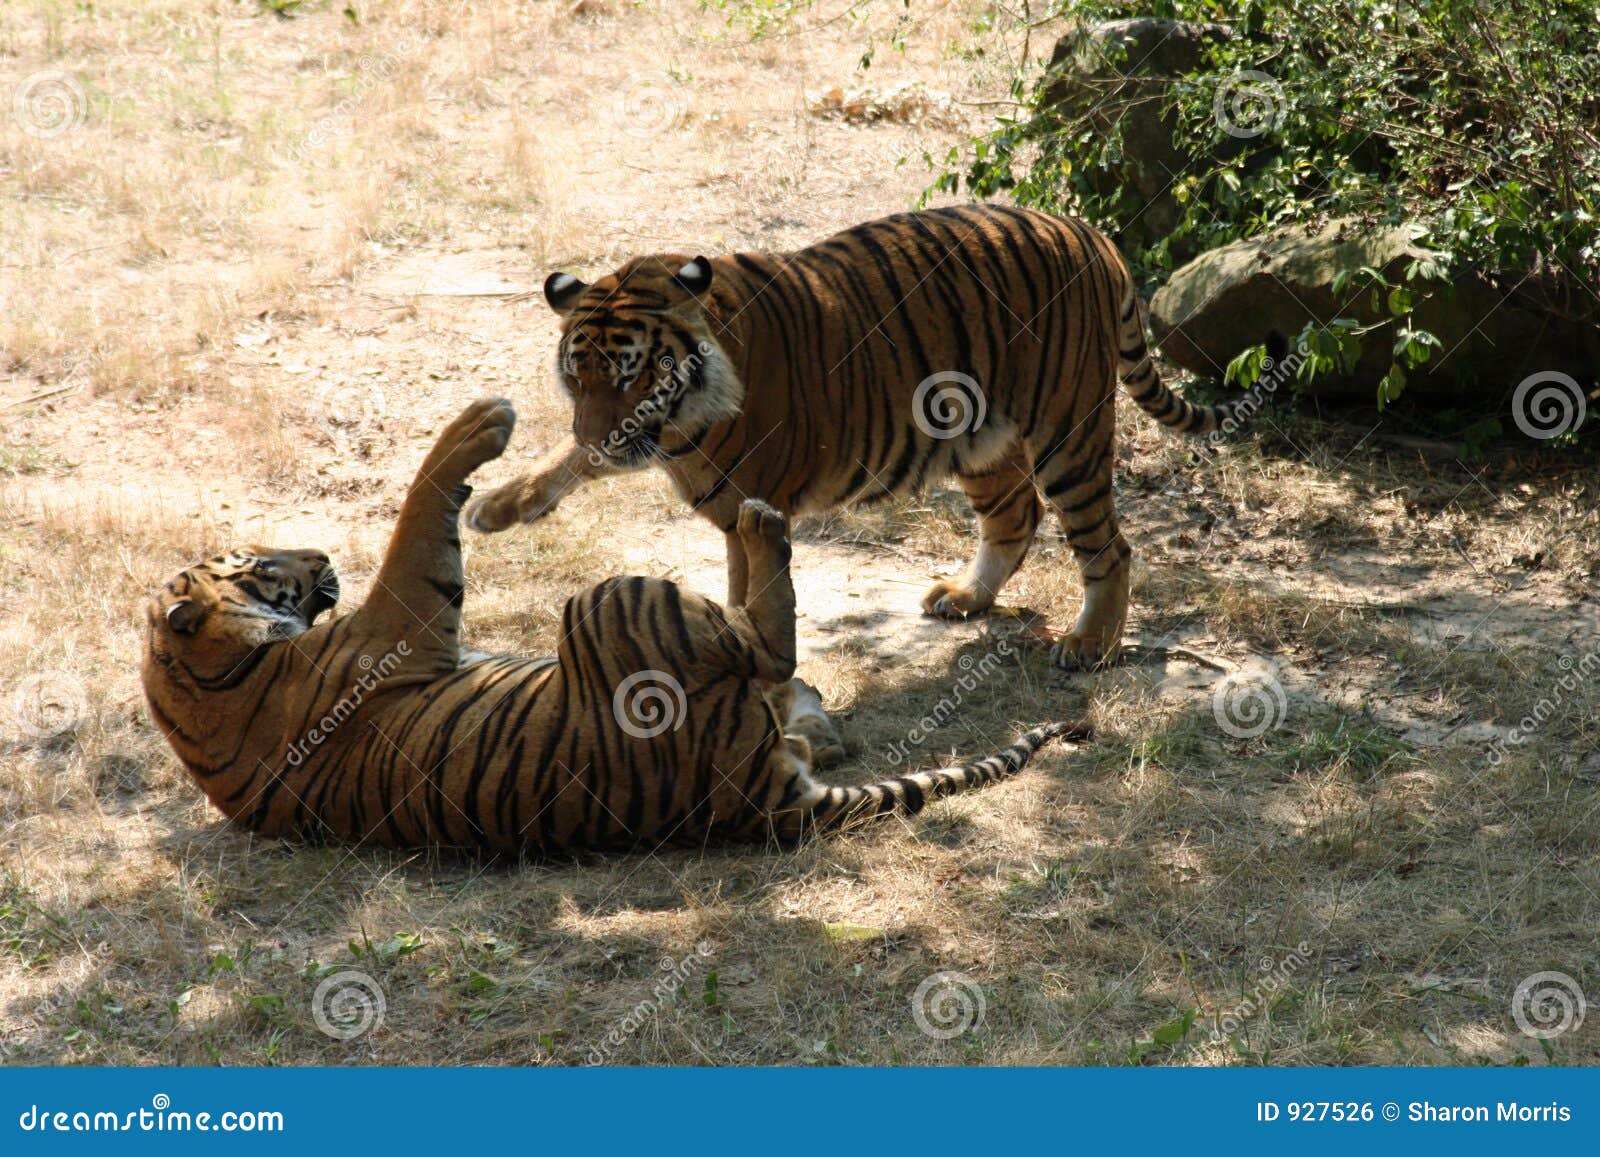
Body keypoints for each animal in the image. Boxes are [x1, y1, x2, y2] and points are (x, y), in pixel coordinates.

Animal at [141, 398, 1088, 856]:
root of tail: (748, 802)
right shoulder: (405, 612)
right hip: (607, 600)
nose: (319, 553)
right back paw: (764, 529)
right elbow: (421, 507)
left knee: (793, 699)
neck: (202, 697)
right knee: (769, 641)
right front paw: (482, 421)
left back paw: (813, 709)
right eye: (264, 562)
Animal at [464, 203, 1255, 668]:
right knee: (1015, 516)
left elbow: (750, 589)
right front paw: (496, 507)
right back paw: (966, 596)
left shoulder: (747, 501)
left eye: (633, 374)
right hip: (979, 433)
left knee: (1107, 546)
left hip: (1069, 433)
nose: (602, 430)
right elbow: (566, 456)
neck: (683, 424)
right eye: (579, 376)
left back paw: (1089, 643)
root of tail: (1088, 233)